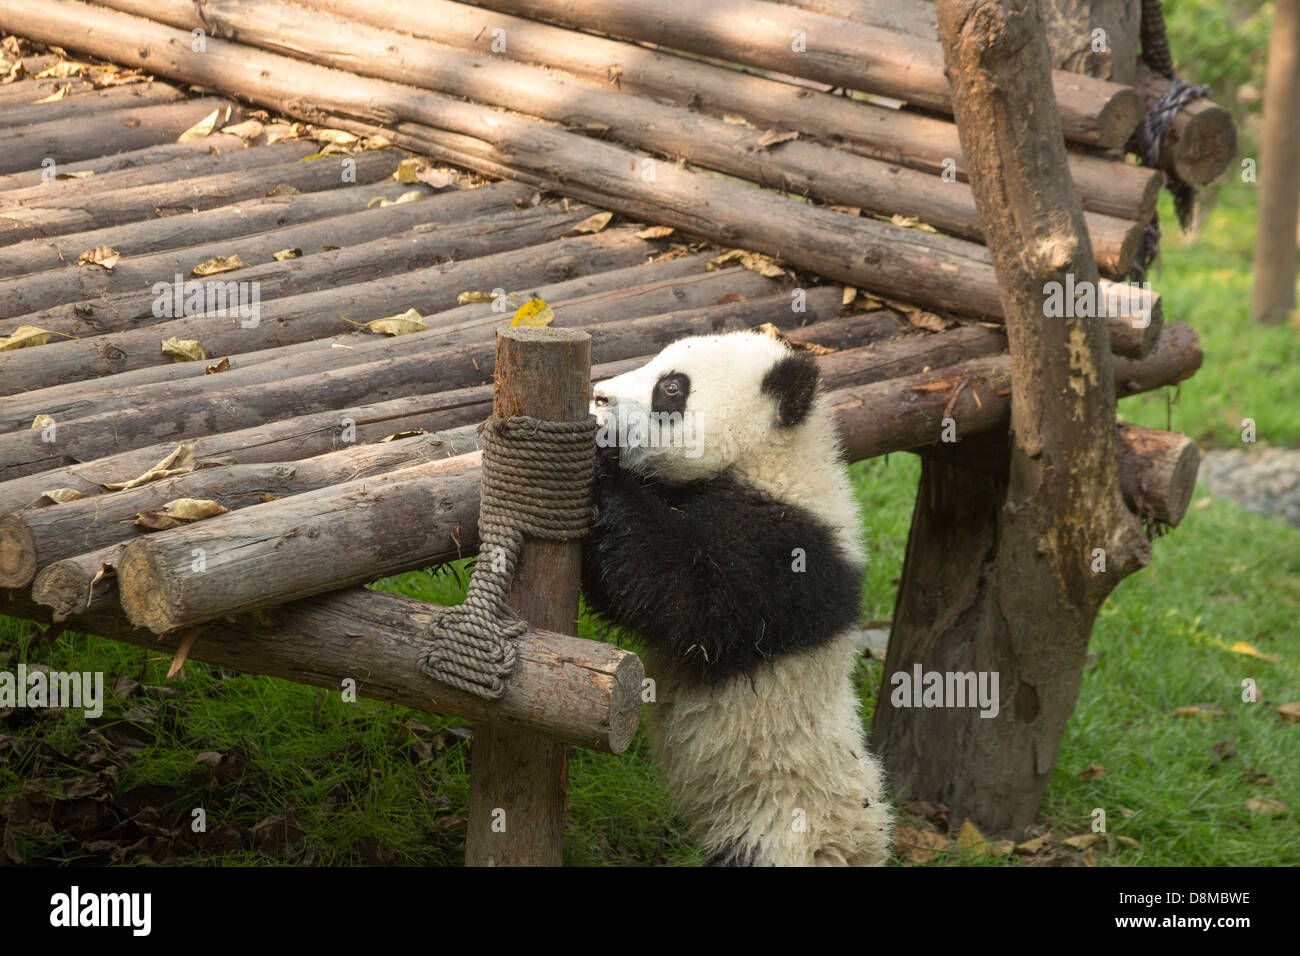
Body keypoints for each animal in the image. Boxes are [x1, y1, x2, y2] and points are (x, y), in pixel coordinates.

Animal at [581, 331, 892, 866]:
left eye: (671, 388)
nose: (599, 397)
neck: (770, 459)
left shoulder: (784, 554)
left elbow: (688, 601)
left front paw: (606, 469)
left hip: (780, 819)